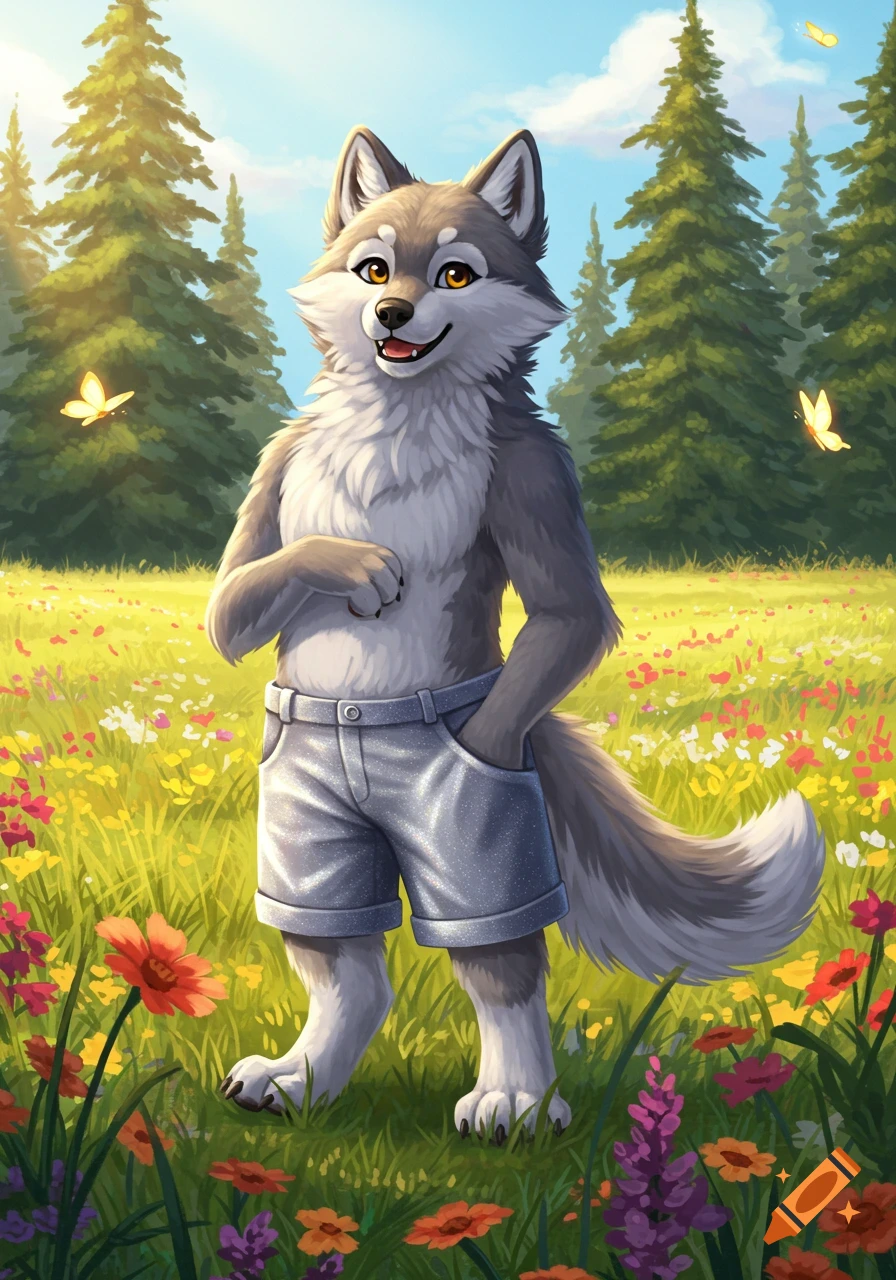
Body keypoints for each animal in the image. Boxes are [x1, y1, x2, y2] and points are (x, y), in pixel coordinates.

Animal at [205, 125, 825, 1141]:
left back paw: (516, 1101)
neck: (396, 427)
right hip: (308, 842)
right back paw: (302, 1079)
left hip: (477, 846)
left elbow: (573, 610)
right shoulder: (276, 472)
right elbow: (234, 602)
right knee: (350, 976)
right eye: (373, 266)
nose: (390, 311)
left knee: (499, 972)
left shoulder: (536, 480)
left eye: (455, 275)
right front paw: (353, 565)